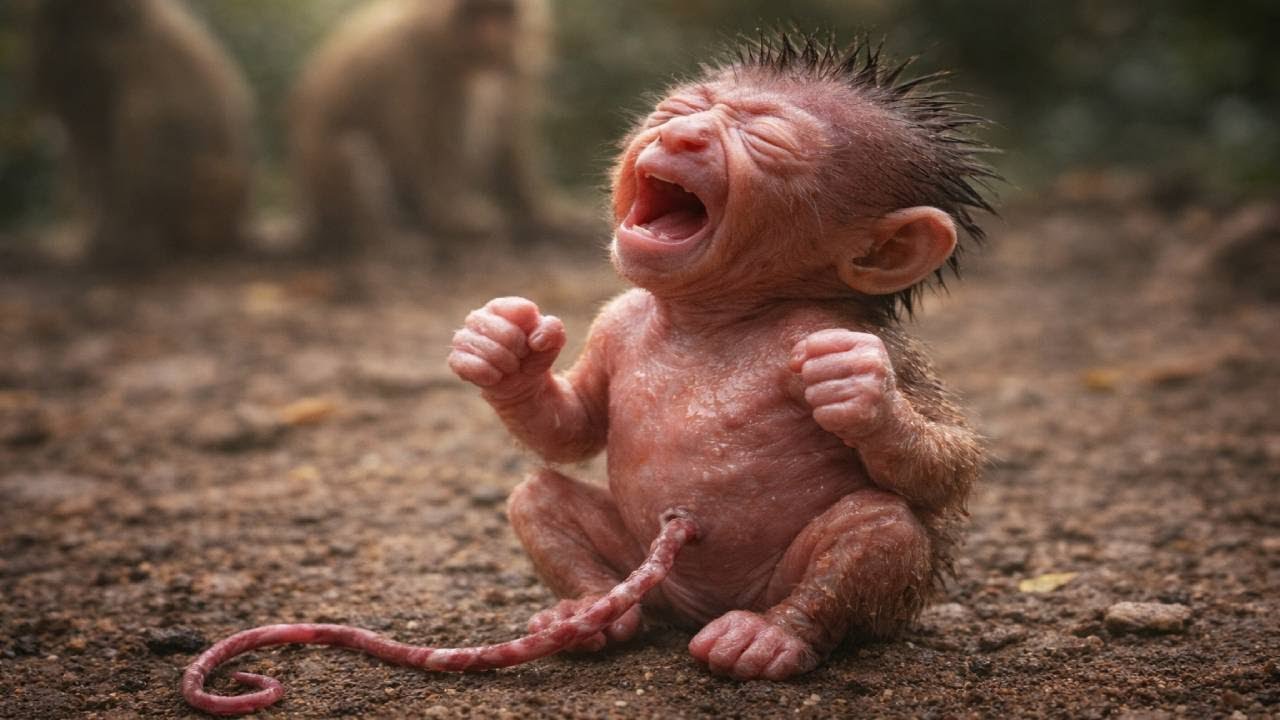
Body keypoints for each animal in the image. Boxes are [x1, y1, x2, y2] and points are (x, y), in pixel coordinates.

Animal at [288, 0, 588, 253]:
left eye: (501, 14)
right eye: (477, 15)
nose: (492, 38)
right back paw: (389, 239)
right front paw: (455, 218)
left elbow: (510, 130)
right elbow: (430, 143)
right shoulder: (418, 61)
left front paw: (539, 212)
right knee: (352, 149)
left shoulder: (515, 64)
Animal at [449, 33, 998, 680]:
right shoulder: (615, 321)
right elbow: (572, 426)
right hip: (646, 571)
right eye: (680, 108)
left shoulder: (847, 332)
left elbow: (947, 469)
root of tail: (698, 610)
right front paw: (503, 349)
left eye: (768, 140)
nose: (684, 136)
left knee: (878, 525)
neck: (708, 320)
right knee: (540, 498)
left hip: (792, 585)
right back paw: (586, 613)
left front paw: (865, 392)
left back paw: (767, 636)